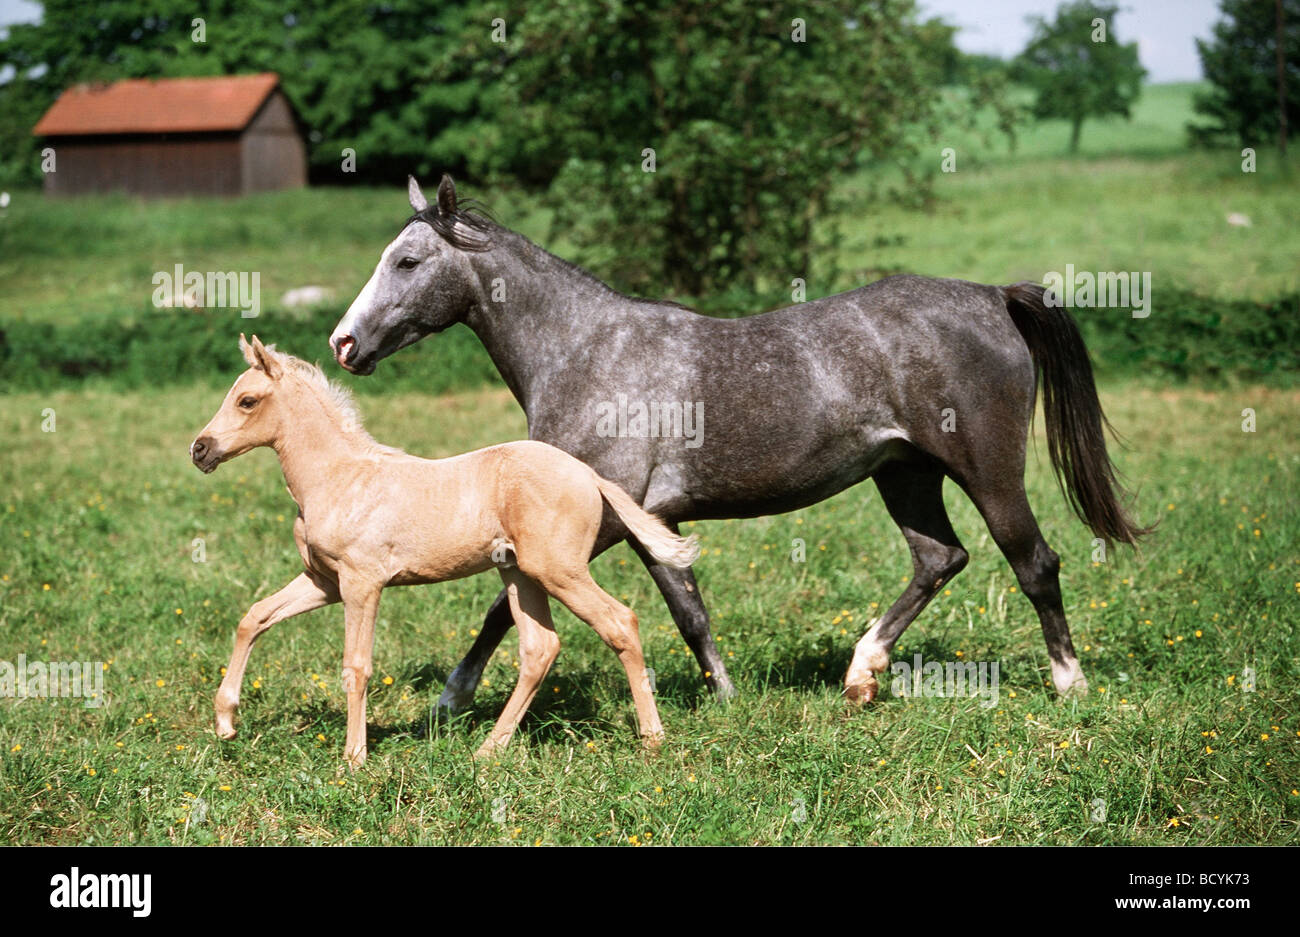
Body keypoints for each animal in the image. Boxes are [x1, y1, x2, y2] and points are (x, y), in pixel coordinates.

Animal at [190, 335, 699, 766]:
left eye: (247, 400)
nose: (200, 450)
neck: (340, 478)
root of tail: (588, 474)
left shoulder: (361, 583)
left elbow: (356, 666)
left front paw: (354, 759)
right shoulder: (325, 581)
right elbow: (254, 617)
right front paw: (225, 722)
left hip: (559, 570)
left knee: (620, 622)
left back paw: (652, 740)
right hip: (520, 574)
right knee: (540, 648)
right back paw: (488, 750)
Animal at [329, 175, 1149, 709]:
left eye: (407, 262)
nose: (344, 343)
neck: (587, 352)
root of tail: (992, 298)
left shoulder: (595, 520)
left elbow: (506, 607)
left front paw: (451, 697)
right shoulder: (652, 520)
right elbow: (689, 611)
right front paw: (725, 696)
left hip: (988, 472)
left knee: (1034, 563)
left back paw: (1069, 686)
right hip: (904, 474)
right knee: (939, 559)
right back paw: (861, 675)